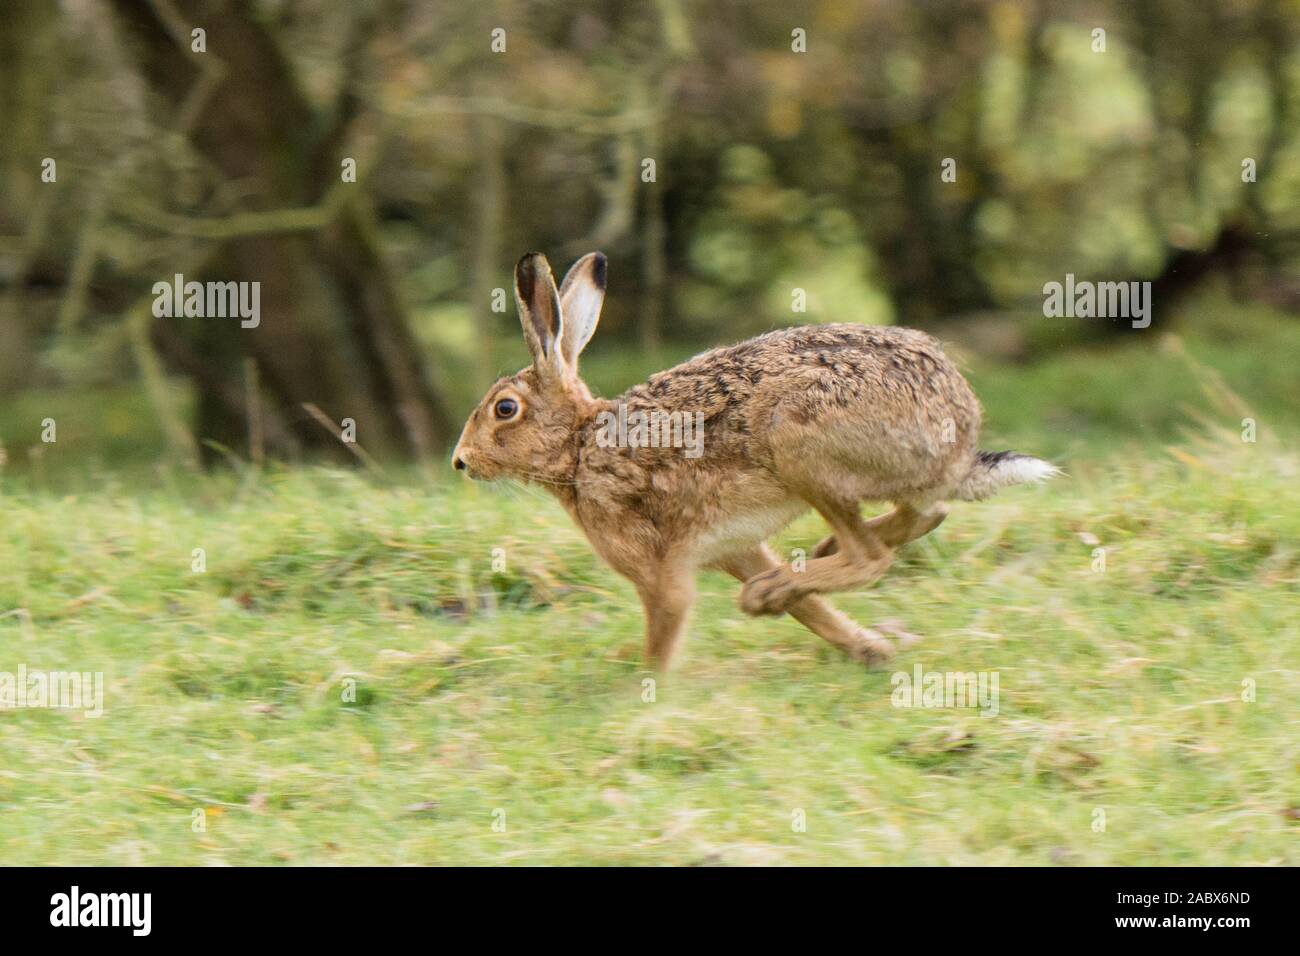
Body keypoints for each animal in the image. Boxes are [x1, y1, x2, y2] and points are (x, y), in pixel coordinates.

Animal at [452, 252, 1059, 670]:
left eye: (505, 409)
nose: (460, 462)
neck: (579, 447)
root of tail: (958, 429)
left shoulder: (658, 569)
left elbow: (666, 625)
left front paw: (642, 690)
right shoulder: (734, 546)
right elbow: (811, 612)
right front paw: (869, 649)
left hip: (798, 444)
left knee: (872, 556)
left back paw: (776, 587)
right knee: (922, 516)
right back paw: (798, 573)